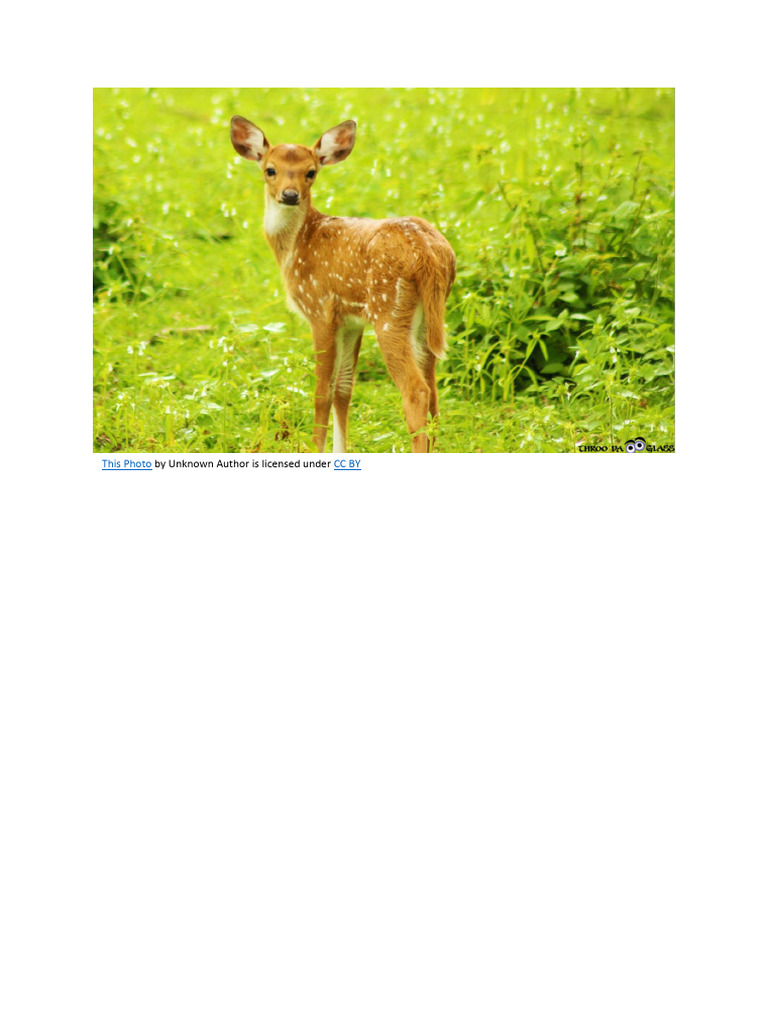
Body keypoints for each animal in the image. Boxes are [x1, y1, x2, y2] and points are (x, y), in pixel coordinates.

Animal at [230, 116, 456, 453]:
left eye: (311, 172)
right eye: (270, 169)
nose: (290, 195)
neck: (297, 244)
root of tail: (429, 254)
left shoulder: (320, 309)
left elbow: (321, 391)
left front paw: (316, 449)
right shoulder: (351, 320)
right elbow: (344, 389)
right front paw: (341, 451)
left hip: (389, 309)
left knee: (416, 390)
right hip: (429, 318)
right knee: (433, 390)